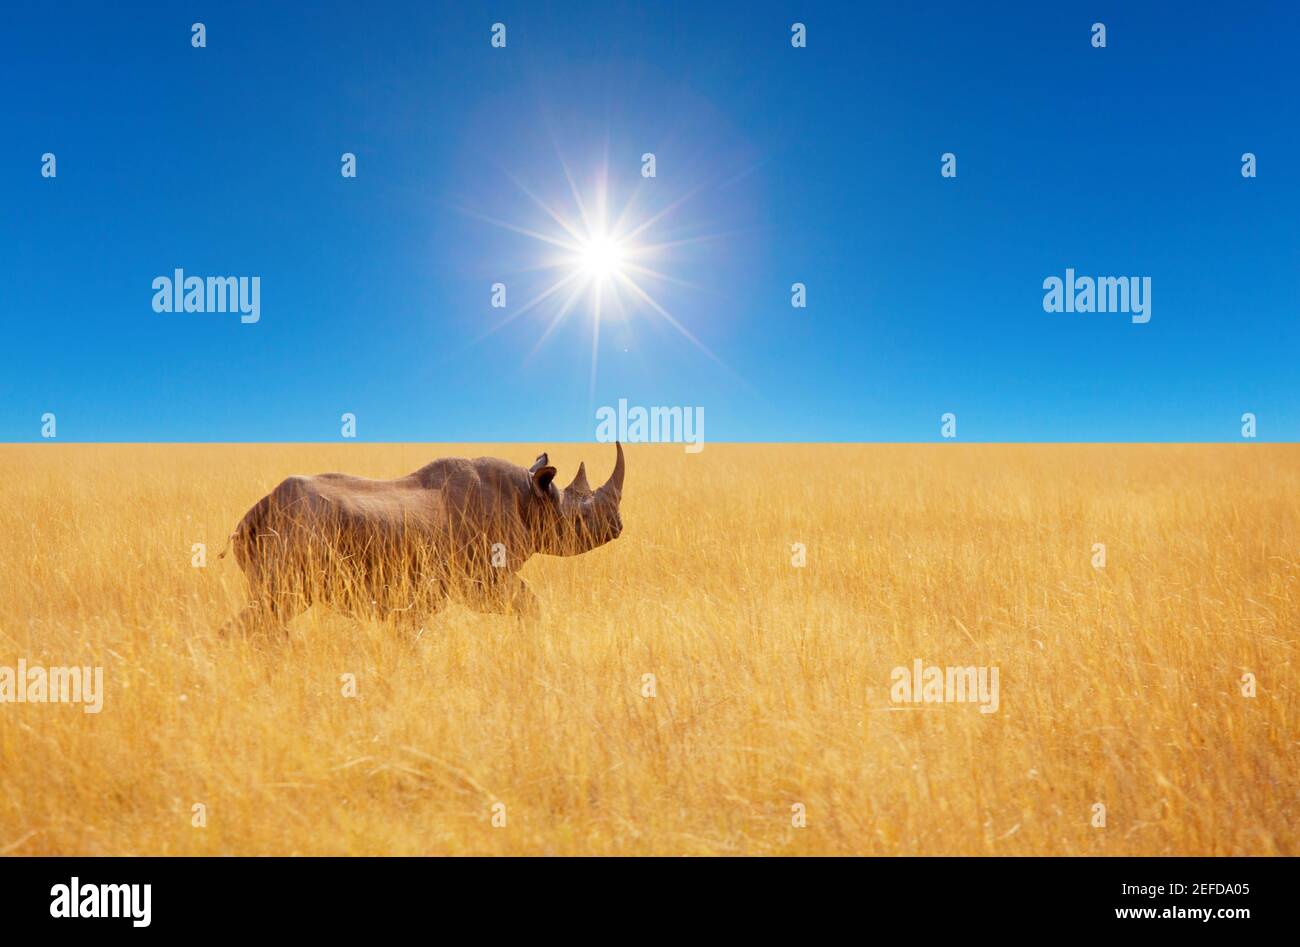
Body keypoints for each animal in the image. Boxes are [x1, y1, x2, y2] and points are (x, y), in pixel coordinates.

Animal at [219, 443, 624, 635]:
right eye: (580, 520)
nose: (617, 527)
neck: (531, 497)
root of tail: (255, 511)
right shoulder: (483, 579)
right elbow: (529, 604)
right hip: (300, 533)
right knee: (274, 608)